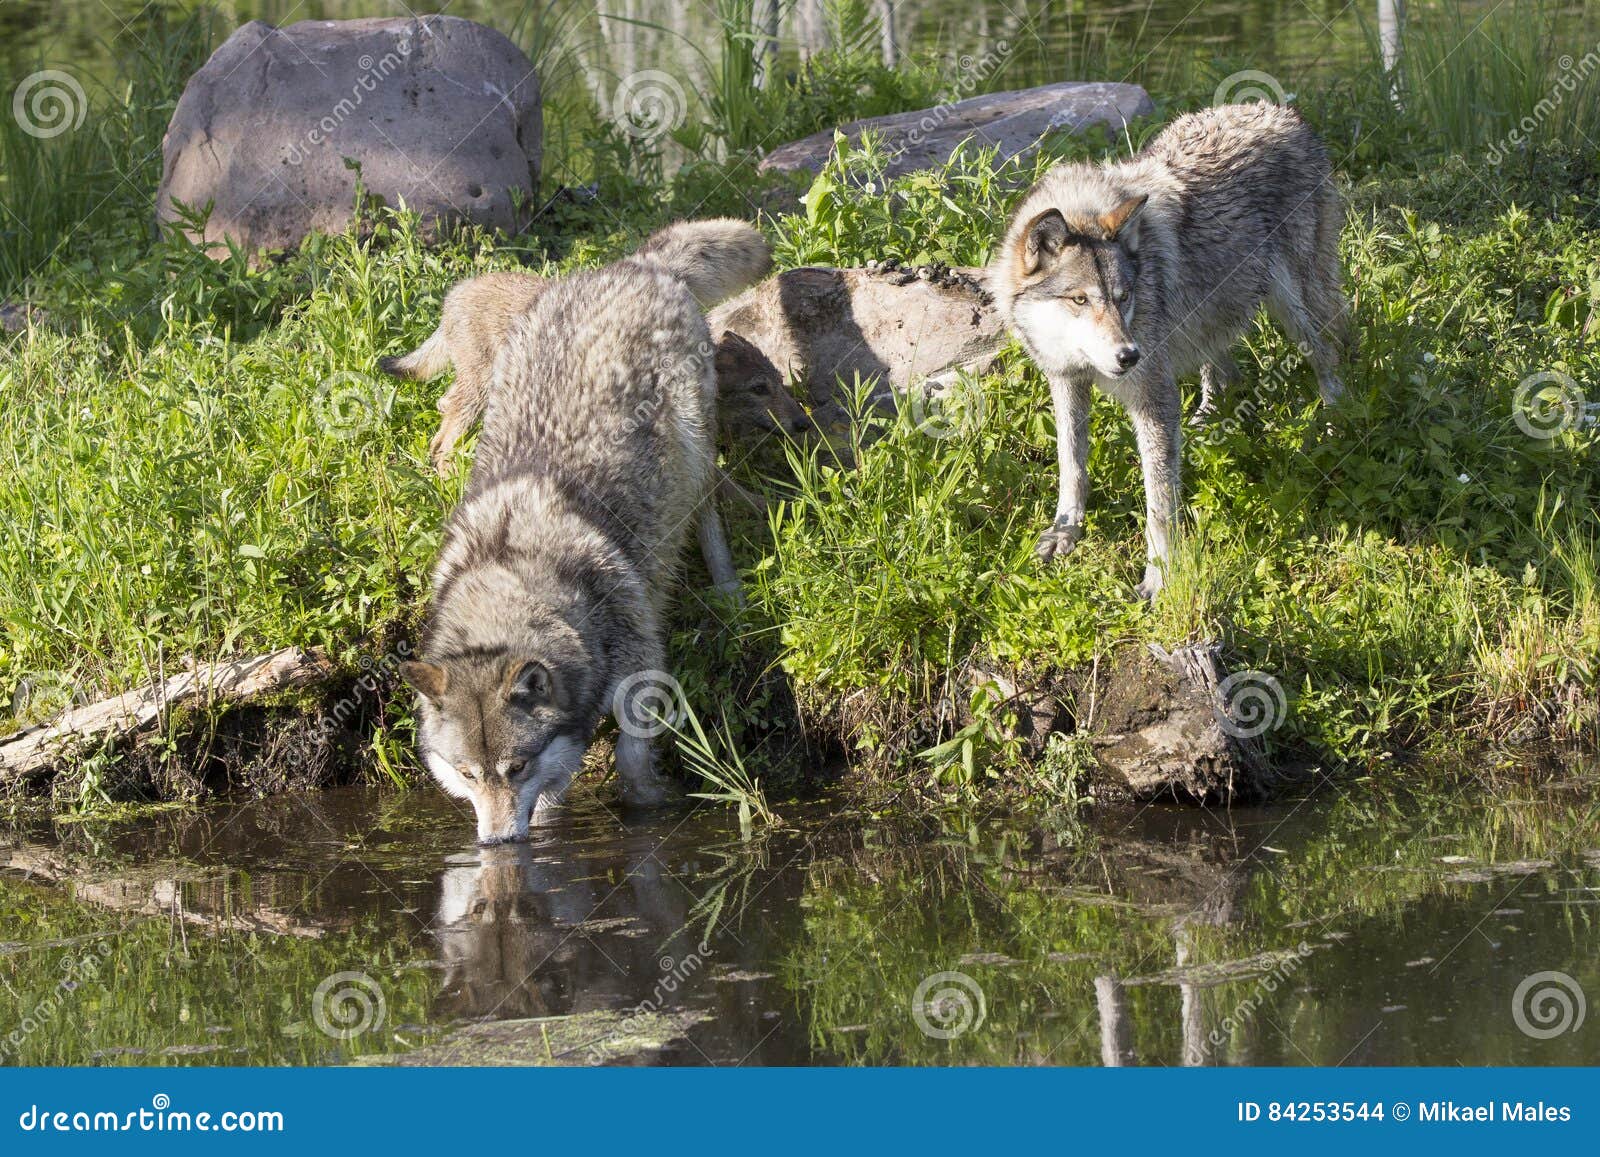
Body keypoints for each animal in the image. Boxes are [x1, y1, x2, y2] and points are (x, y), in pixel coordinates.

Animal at [380, 219, 795, 476]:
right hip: (478, 393)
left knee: (443, 406)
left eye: (780, 384)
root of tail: (454, 296)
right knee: (441, 438)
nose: (803, 422)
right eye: (760, 388)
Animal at [400, 221, 770, 843]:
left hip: (695, 452)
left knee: (708, 513)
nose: (496, 844)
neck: (511, 563)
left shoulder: (643, 670)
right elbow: (551, 802)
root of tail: (632, 265)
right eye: (468, 774)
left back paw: (728, 590)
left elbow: (629, 756)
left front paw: (648, 802)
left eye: (515, 766)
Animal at [988, 103, 1347, 599]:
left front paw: (1159, 575)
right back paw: (1207, 421)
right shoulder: (1065, 381)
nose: (1129, 356)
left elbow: (1159, 504)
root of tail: (1279, 110)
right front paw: (1065, 532)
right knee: (1226, 373)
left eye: (1123, 297)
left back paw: (1333, 430)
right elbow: (1071, 463)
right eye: (1080, 299)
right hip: (1217, 313)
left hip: (1295, 309)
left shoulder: (1152, 398)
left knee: (1329, 357)